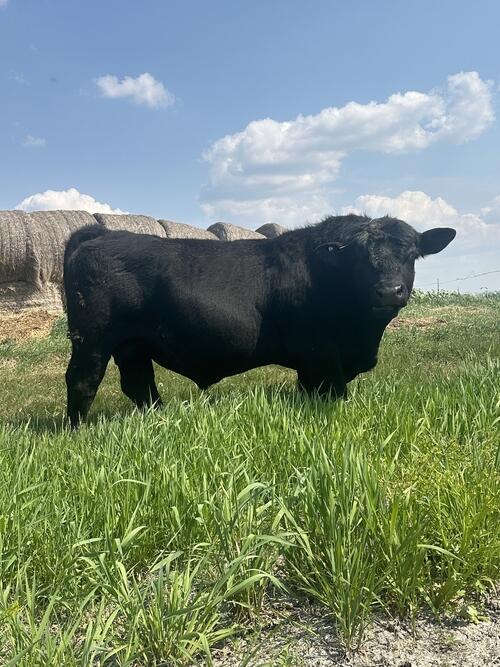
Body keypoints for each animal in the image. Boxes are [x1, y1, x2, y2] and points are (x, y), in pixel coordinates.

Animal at [63, 215, 455, 427]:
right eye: (360, 257)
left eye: (411, 254)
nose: (389, 291)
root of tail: (105, 233)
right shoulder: (321, 354)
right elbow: (333, 390)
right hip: (93, 339)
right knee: (82, 381)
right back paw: (75, 430)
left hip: (132, 345)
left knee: (139, 384)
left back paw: (162, 417)